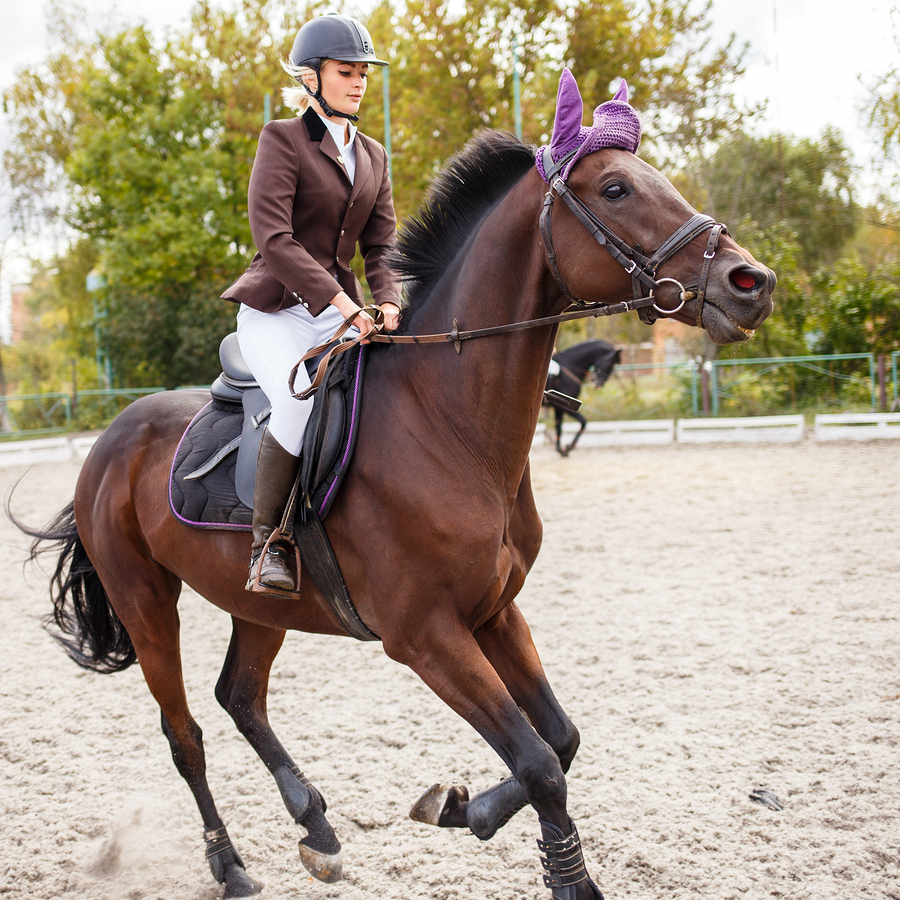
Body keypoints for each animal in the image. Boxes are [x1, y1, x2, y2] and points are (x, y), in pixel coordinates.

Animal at [19, 110, 775, 898]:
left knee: (241, 697)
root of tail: (111, 438)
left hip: (256, 600)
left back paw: (317, 829)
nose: (752, 282)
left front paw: (465, 810)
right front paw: (553, 867)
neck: (450, 422)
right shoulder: (425, 636)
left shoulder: (494, 612)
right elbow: (539, 763)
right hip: (144, 600)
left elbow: (560, 741)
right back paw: (230, 865)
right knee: (185, 733)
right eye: (617, 189)